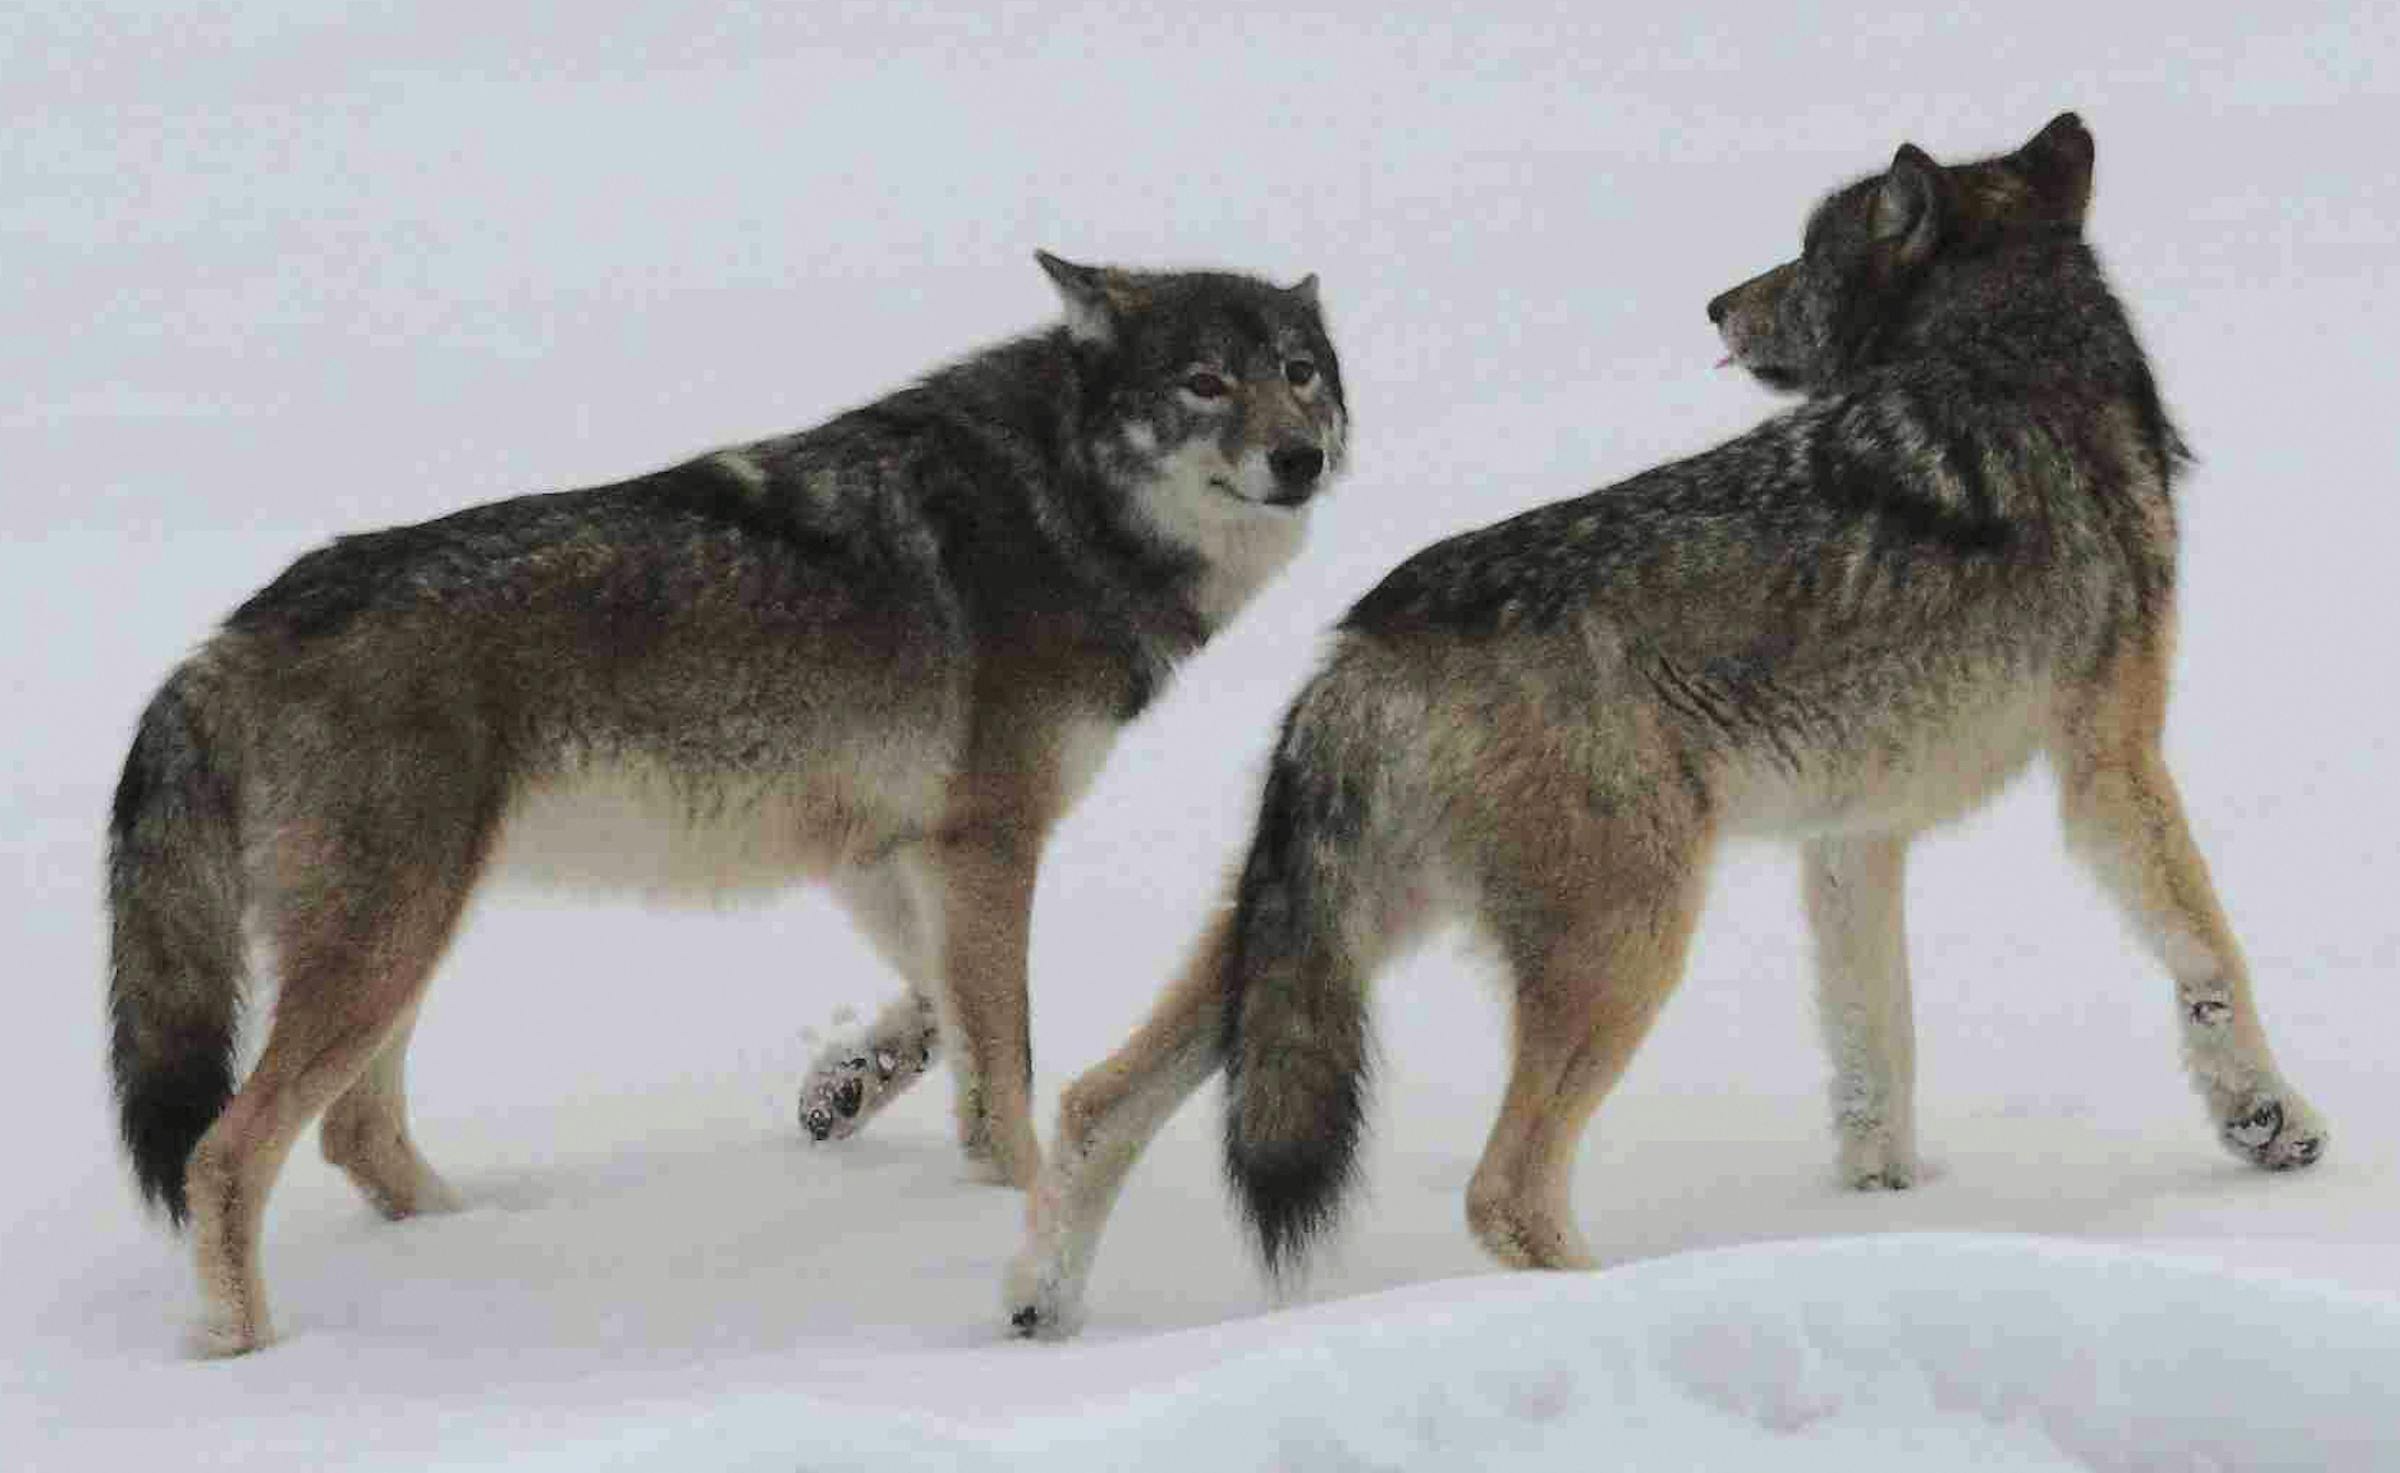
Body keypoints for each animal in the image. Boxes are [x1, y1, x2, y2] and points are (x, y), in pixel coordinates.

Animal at [106, 252, 1347, 1355]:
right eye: (1203, 381)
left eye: (1298, 370)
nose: (1301, 457)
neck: (1060, 501)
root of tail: (220, 644)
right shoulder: (989, 841)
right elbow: (1009, 1063)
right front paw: (1015, 1211)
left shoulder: (881, 849)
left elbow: (939, 1010)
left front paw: (846, 1090)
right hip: (389, 944)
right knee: (227, 1154)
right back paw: (249, 1347)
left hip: (409, 942)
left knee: (356, 1135)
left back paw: (483, 1249)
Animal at [1005, 114, 2325, 1337]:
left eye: (1802, 254)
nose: (1717, 304)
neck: (2013, 354)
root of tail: (1365, 640)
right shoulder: (2110, 762)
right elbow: (2212, 953)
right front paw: (2269, 1121)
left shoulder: (1852, 839)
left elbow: (1875, 1053)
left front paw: (1887, 1207)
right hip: (1632, 942)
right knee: (1503, 1194)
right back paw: (1635, 1306)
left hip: (1311, 946)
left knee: (1094, 1100)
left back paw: (1038, 1307)